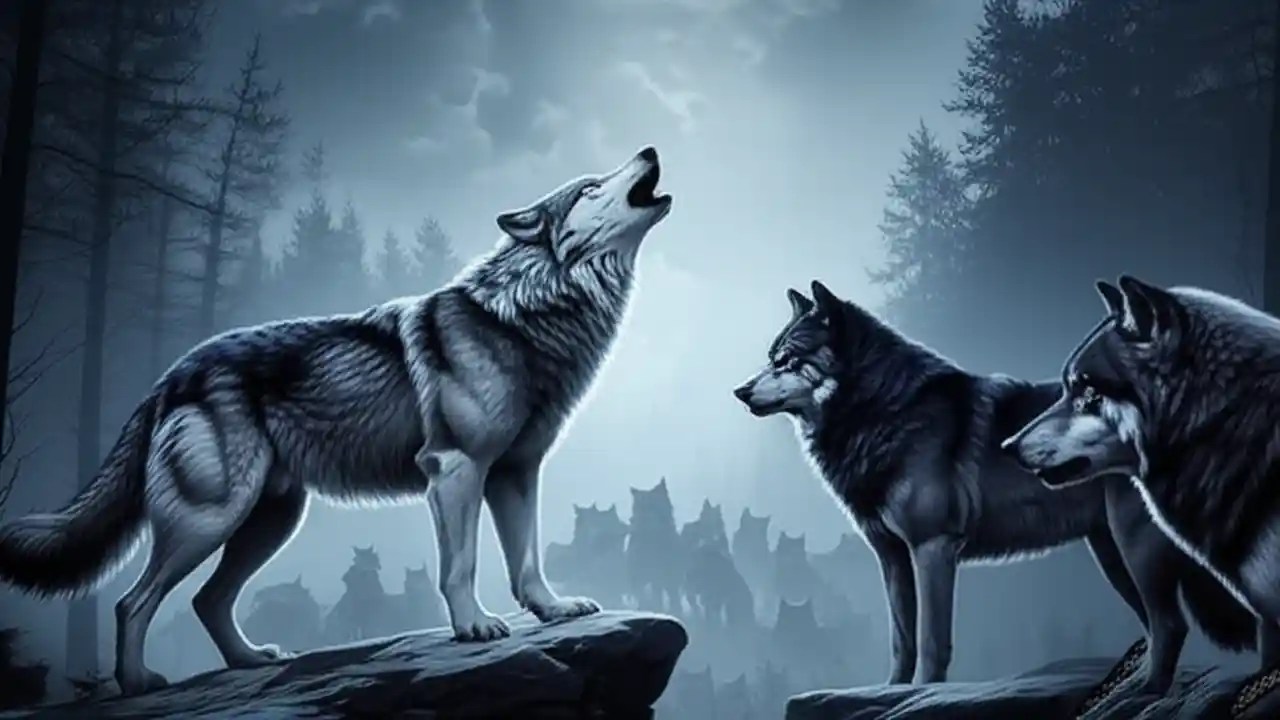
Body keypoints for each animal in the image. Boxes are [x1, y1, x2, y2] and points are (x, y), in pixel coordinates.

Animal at [0, 147, 673, 694]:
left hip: (269, 521)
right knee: (132, 602)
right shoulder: (455, 471)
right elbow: (461, 567)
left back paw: (249, 661)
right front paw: (474, 627)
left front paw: (552, 611)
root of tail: (171, 376)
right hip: (210, 519)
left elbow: (527, 561)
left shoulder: (515, 474)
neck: (526, 312)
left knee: (207, 600)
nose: (650, 149)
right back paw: (138, 683)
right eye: (590, 187)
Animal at [732, 280, 1254, 690]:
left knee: (1170, 625)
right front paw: (892, 692)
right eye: (769, 358)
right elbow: (901, 640)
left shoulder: (933, 549)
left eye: (787, 360)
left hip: (1134, 549)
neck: (884, 412)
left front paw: (923, 693)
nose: (739, 391)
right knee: (1158, 626)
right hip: (1114, 557)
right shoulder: (893, 558)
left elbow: (931, 642)